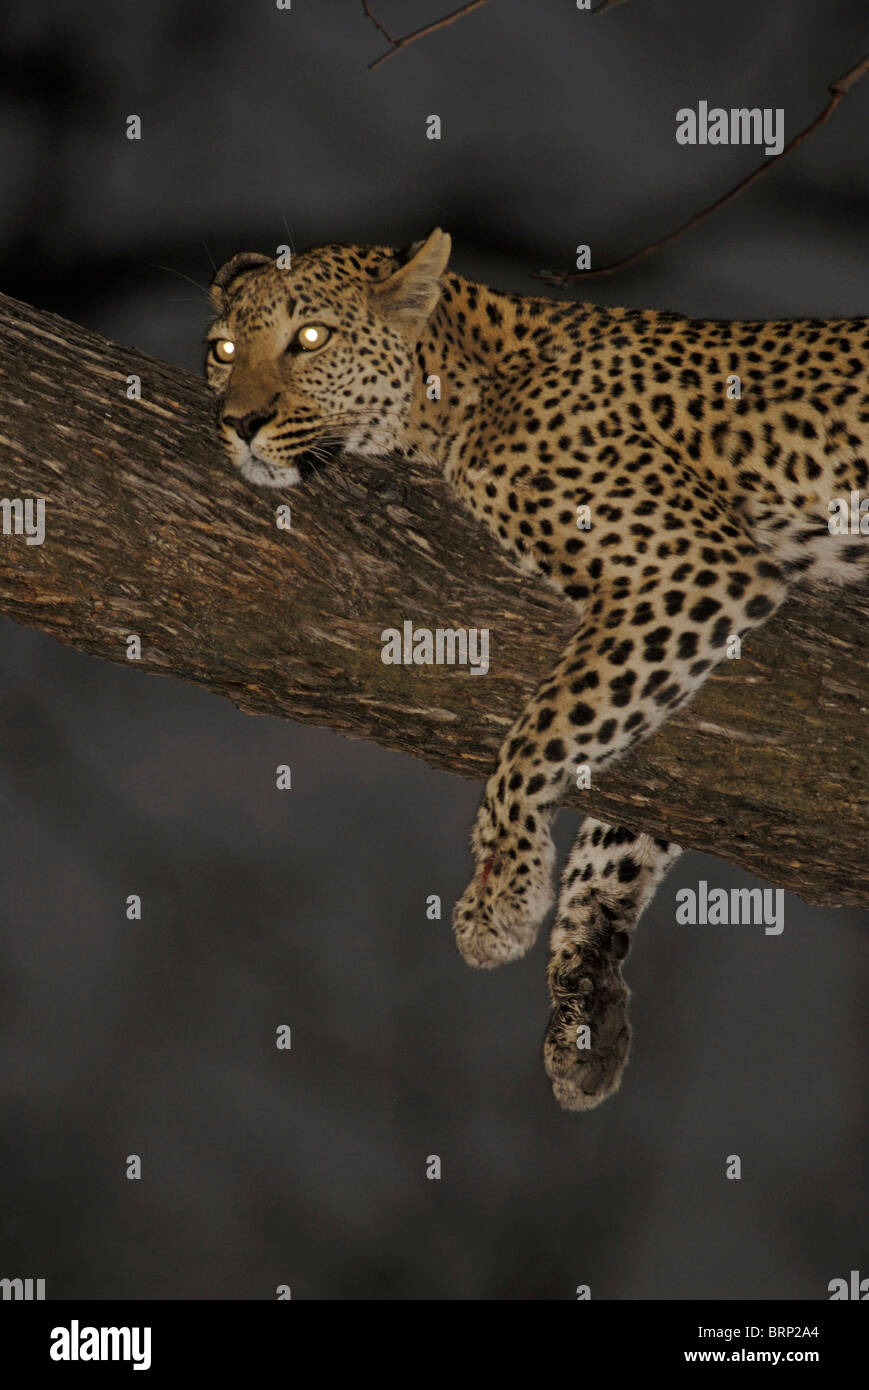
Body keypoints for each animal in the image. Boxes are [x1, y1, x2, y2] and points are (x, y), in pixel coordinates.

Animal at [205, 229, 869, 1111]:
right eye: (222, 350)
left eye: (309, 338)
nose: (239, 421)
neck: (458, 398)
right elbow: (621, 818)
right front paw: (585, 992)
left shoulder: (696, 568)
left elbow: (542, 733)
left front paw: (501, 895)